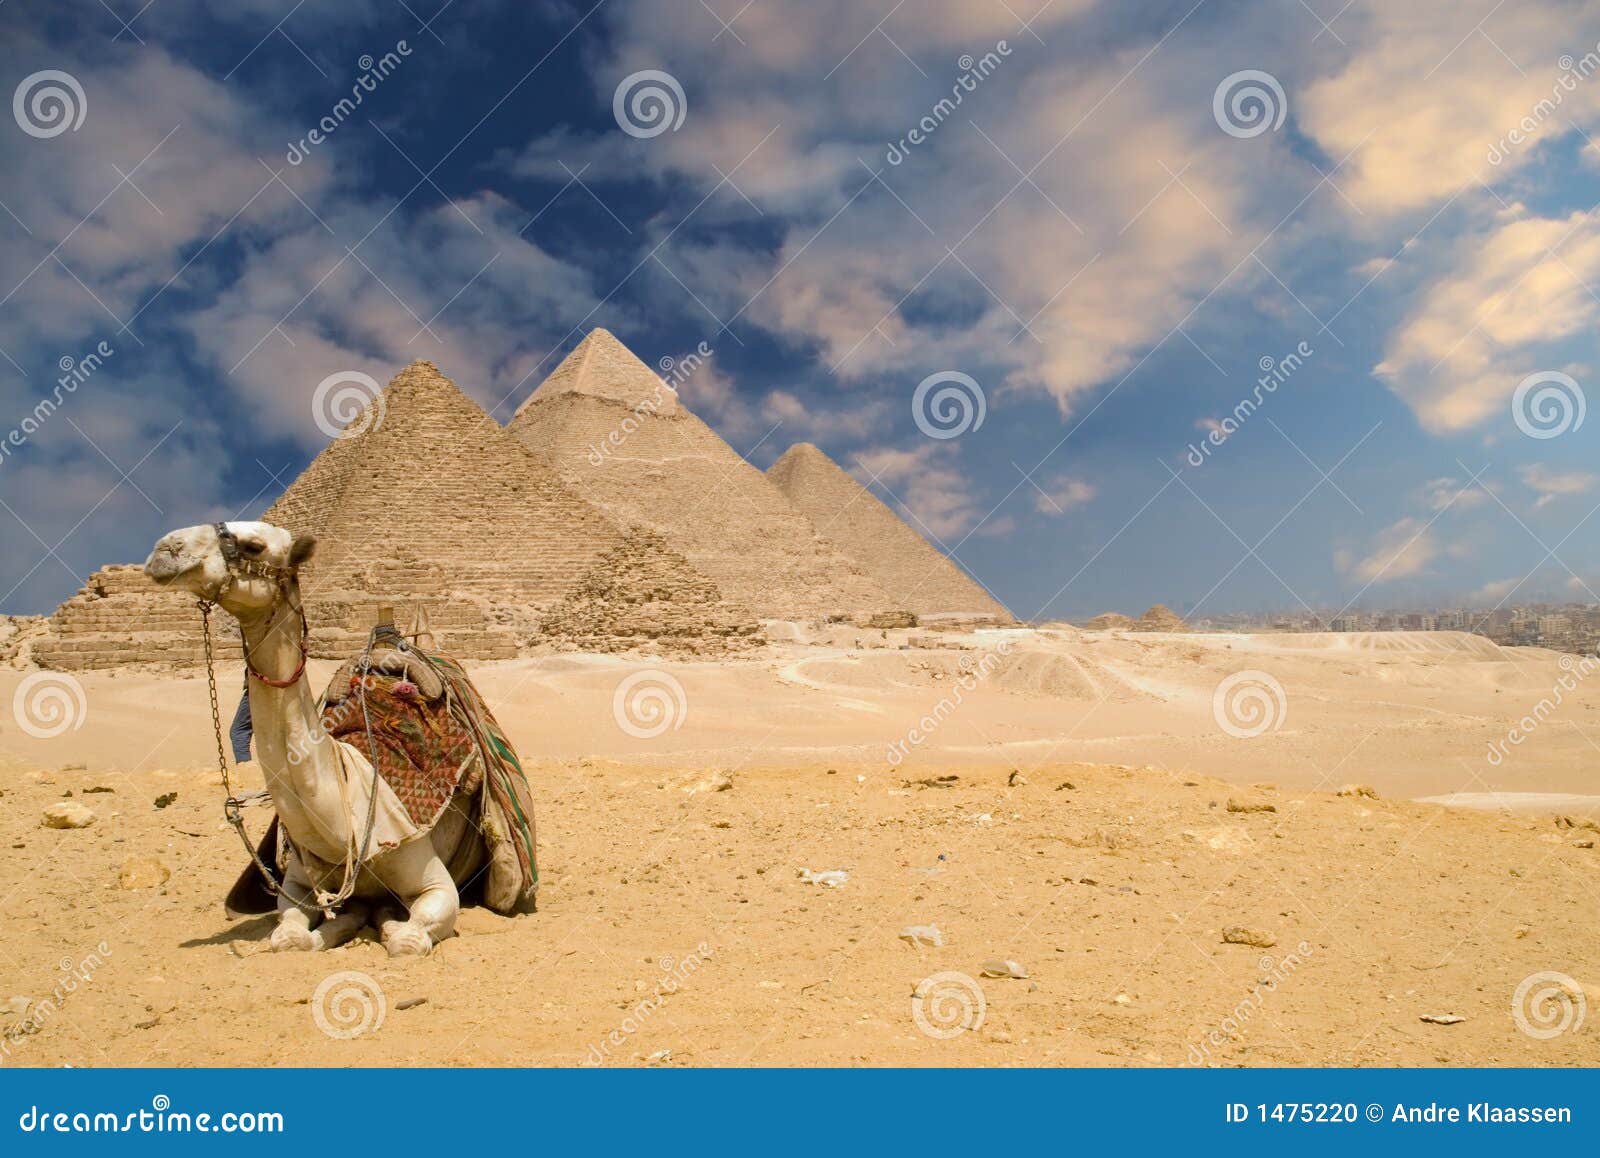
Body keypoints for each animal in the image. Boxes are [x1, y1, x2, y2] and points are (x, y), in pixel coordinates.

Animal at [145, 520, 500, 957]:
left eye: (254, 545)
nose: (166, 549)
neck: (340, 814)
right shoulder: (297, 884)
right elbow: (291, 936)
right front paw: (343, 924)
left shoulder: (434, 882)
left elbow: (406, 939)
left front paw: (385, 923)